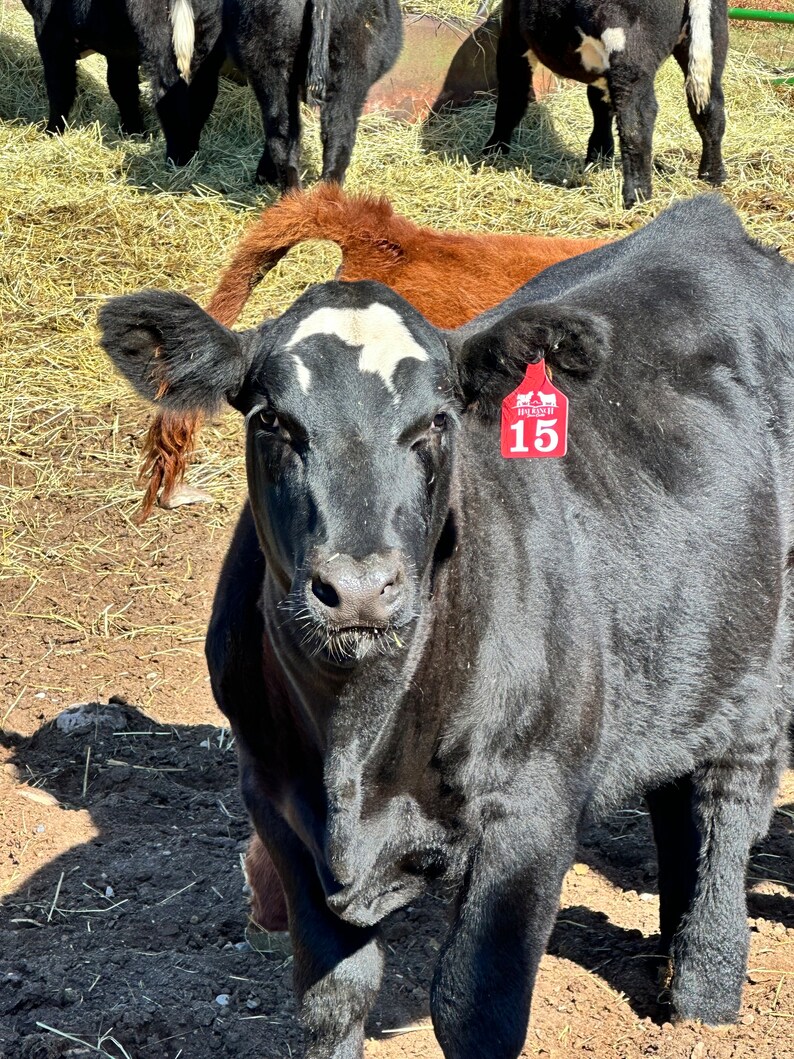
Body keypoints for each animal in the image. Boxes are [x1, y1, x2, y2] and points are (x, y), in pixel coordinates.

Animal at [21, 0, 224, 165]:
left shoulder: (50, 32)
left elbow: (59, 86)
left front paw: (52, 132)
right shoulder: (119, 50)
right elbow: (122, 87)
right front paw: (134, 132)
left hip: (157, 34)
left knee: (167, 91)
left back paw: (176, 160)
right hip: (208, 37)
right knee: (203, 94)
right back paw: (192, 154)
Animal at [485, 0, 728, 208]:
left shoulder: (512, 36)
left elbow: (511, 99)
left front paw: (493, 151)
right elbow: (600, 104)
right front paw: (599, 154)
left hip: (630, 58)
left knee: (637, 120)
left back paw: (636, 196)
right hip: (711, 44)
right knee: (710, 110)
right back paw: (712, 175)